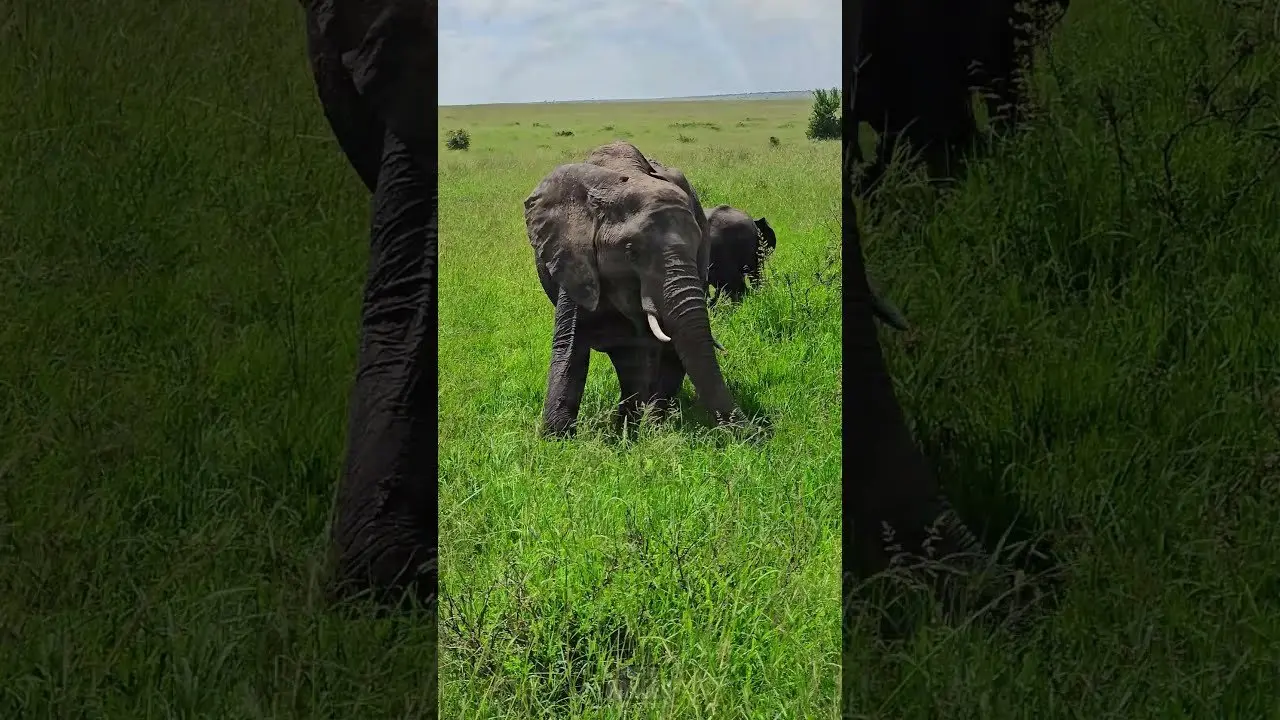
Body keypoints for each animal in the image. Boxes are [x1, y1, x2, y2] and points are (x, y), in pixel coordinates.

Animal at [525, 141, 744, 437]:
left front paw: (650, 431)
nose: (755, 435)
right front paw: (555, 440)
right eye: (631, 252)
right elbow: (570, 344)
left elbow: (654, 347)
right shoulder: (573, 255)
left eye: (699, 246)